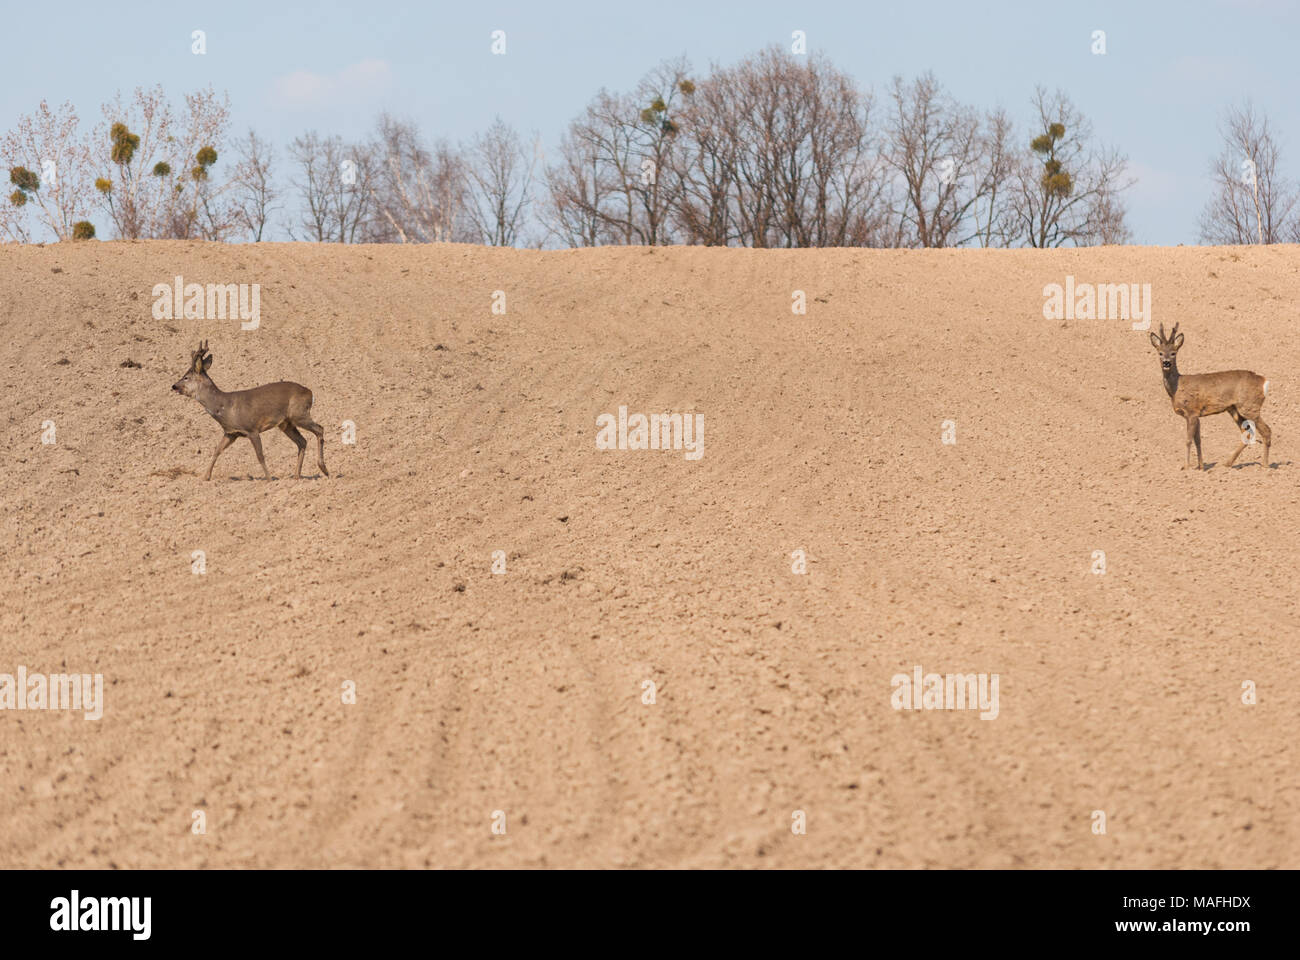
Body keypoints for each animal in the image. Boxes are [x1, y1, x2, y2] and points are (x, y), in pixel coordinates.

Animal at [172, 340, 329, 481]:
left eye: (186, 377)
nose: (173, 386)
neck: (225, 407)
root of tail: (310, 393)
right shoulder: (231, 433)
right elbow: (216, 451)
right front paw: (205, 477)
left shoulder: (252, 428)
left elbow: (260, 456)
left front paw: (269, 479)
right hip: (286, 423)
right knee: (302, 442)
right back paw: (296, 476)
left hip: (299, 414)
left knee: (319, 429)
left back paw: (324, 469)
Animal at [1149, 323, 1271, 471]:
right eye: (1160, 353)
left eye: (1173, 352)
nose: (1166, 362)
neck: (1176, 387)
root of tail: (1264, 382)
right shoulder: (1195, 415)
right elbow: (1198, 440)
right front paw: (1201, 467)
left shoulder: (1192, 411)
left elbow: (1188, 440)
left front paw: (1186, 467)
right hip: (1235, 409)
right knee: (1247, 433)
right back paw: (1227, 463)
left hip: (1250, 406)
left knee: (1266, 430)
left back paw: (1265, 466)